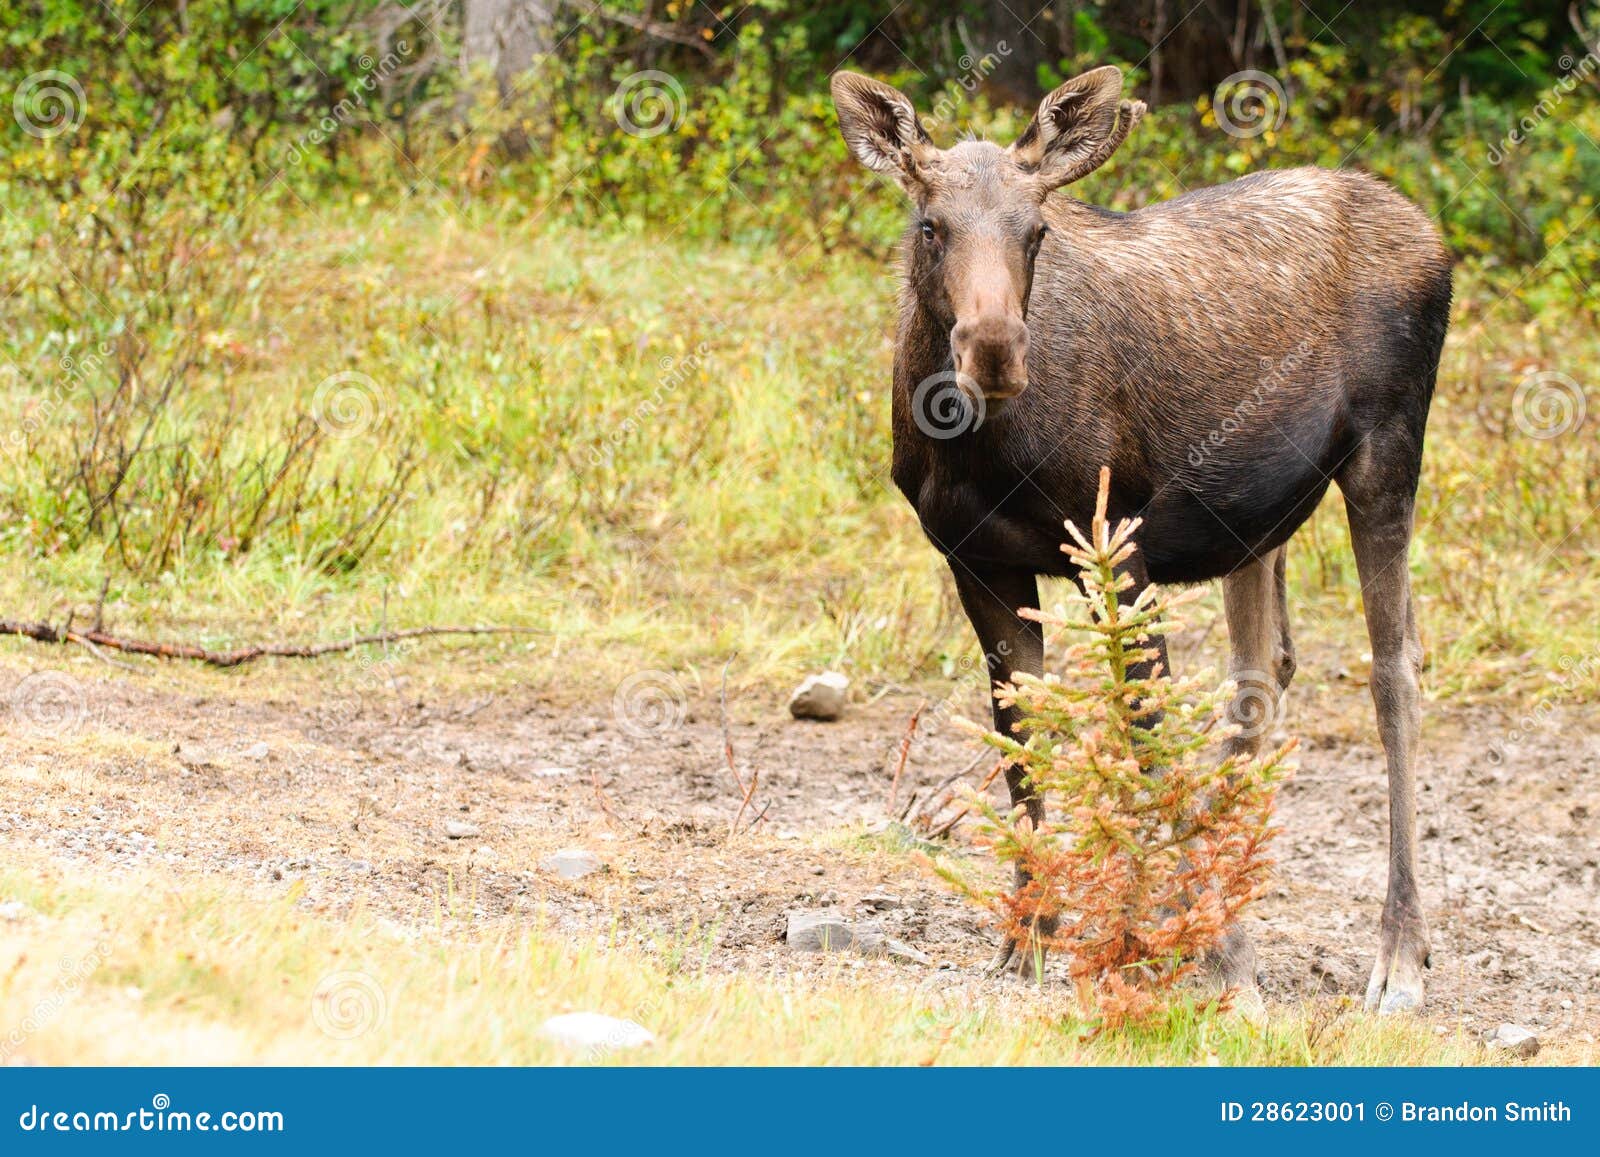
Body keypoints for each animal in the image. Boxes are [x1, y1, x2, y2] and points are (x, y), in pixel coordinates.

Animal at [830, 65, 1452, 1014]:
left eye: (1038, 229)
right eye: (930, 226)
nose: (994, 348)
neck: (976, 452)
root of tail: (1431, 232)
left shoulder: (1120, 541)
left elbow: (1147, 734)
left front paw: (1220, 961)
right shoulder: (978, 560)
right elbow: (1024, 742)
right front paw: (1031, 937)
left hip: (1388, 451)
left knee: (1395, 670)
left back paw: (1399, 958)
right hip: (1259, 519)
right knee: (1264, 673)